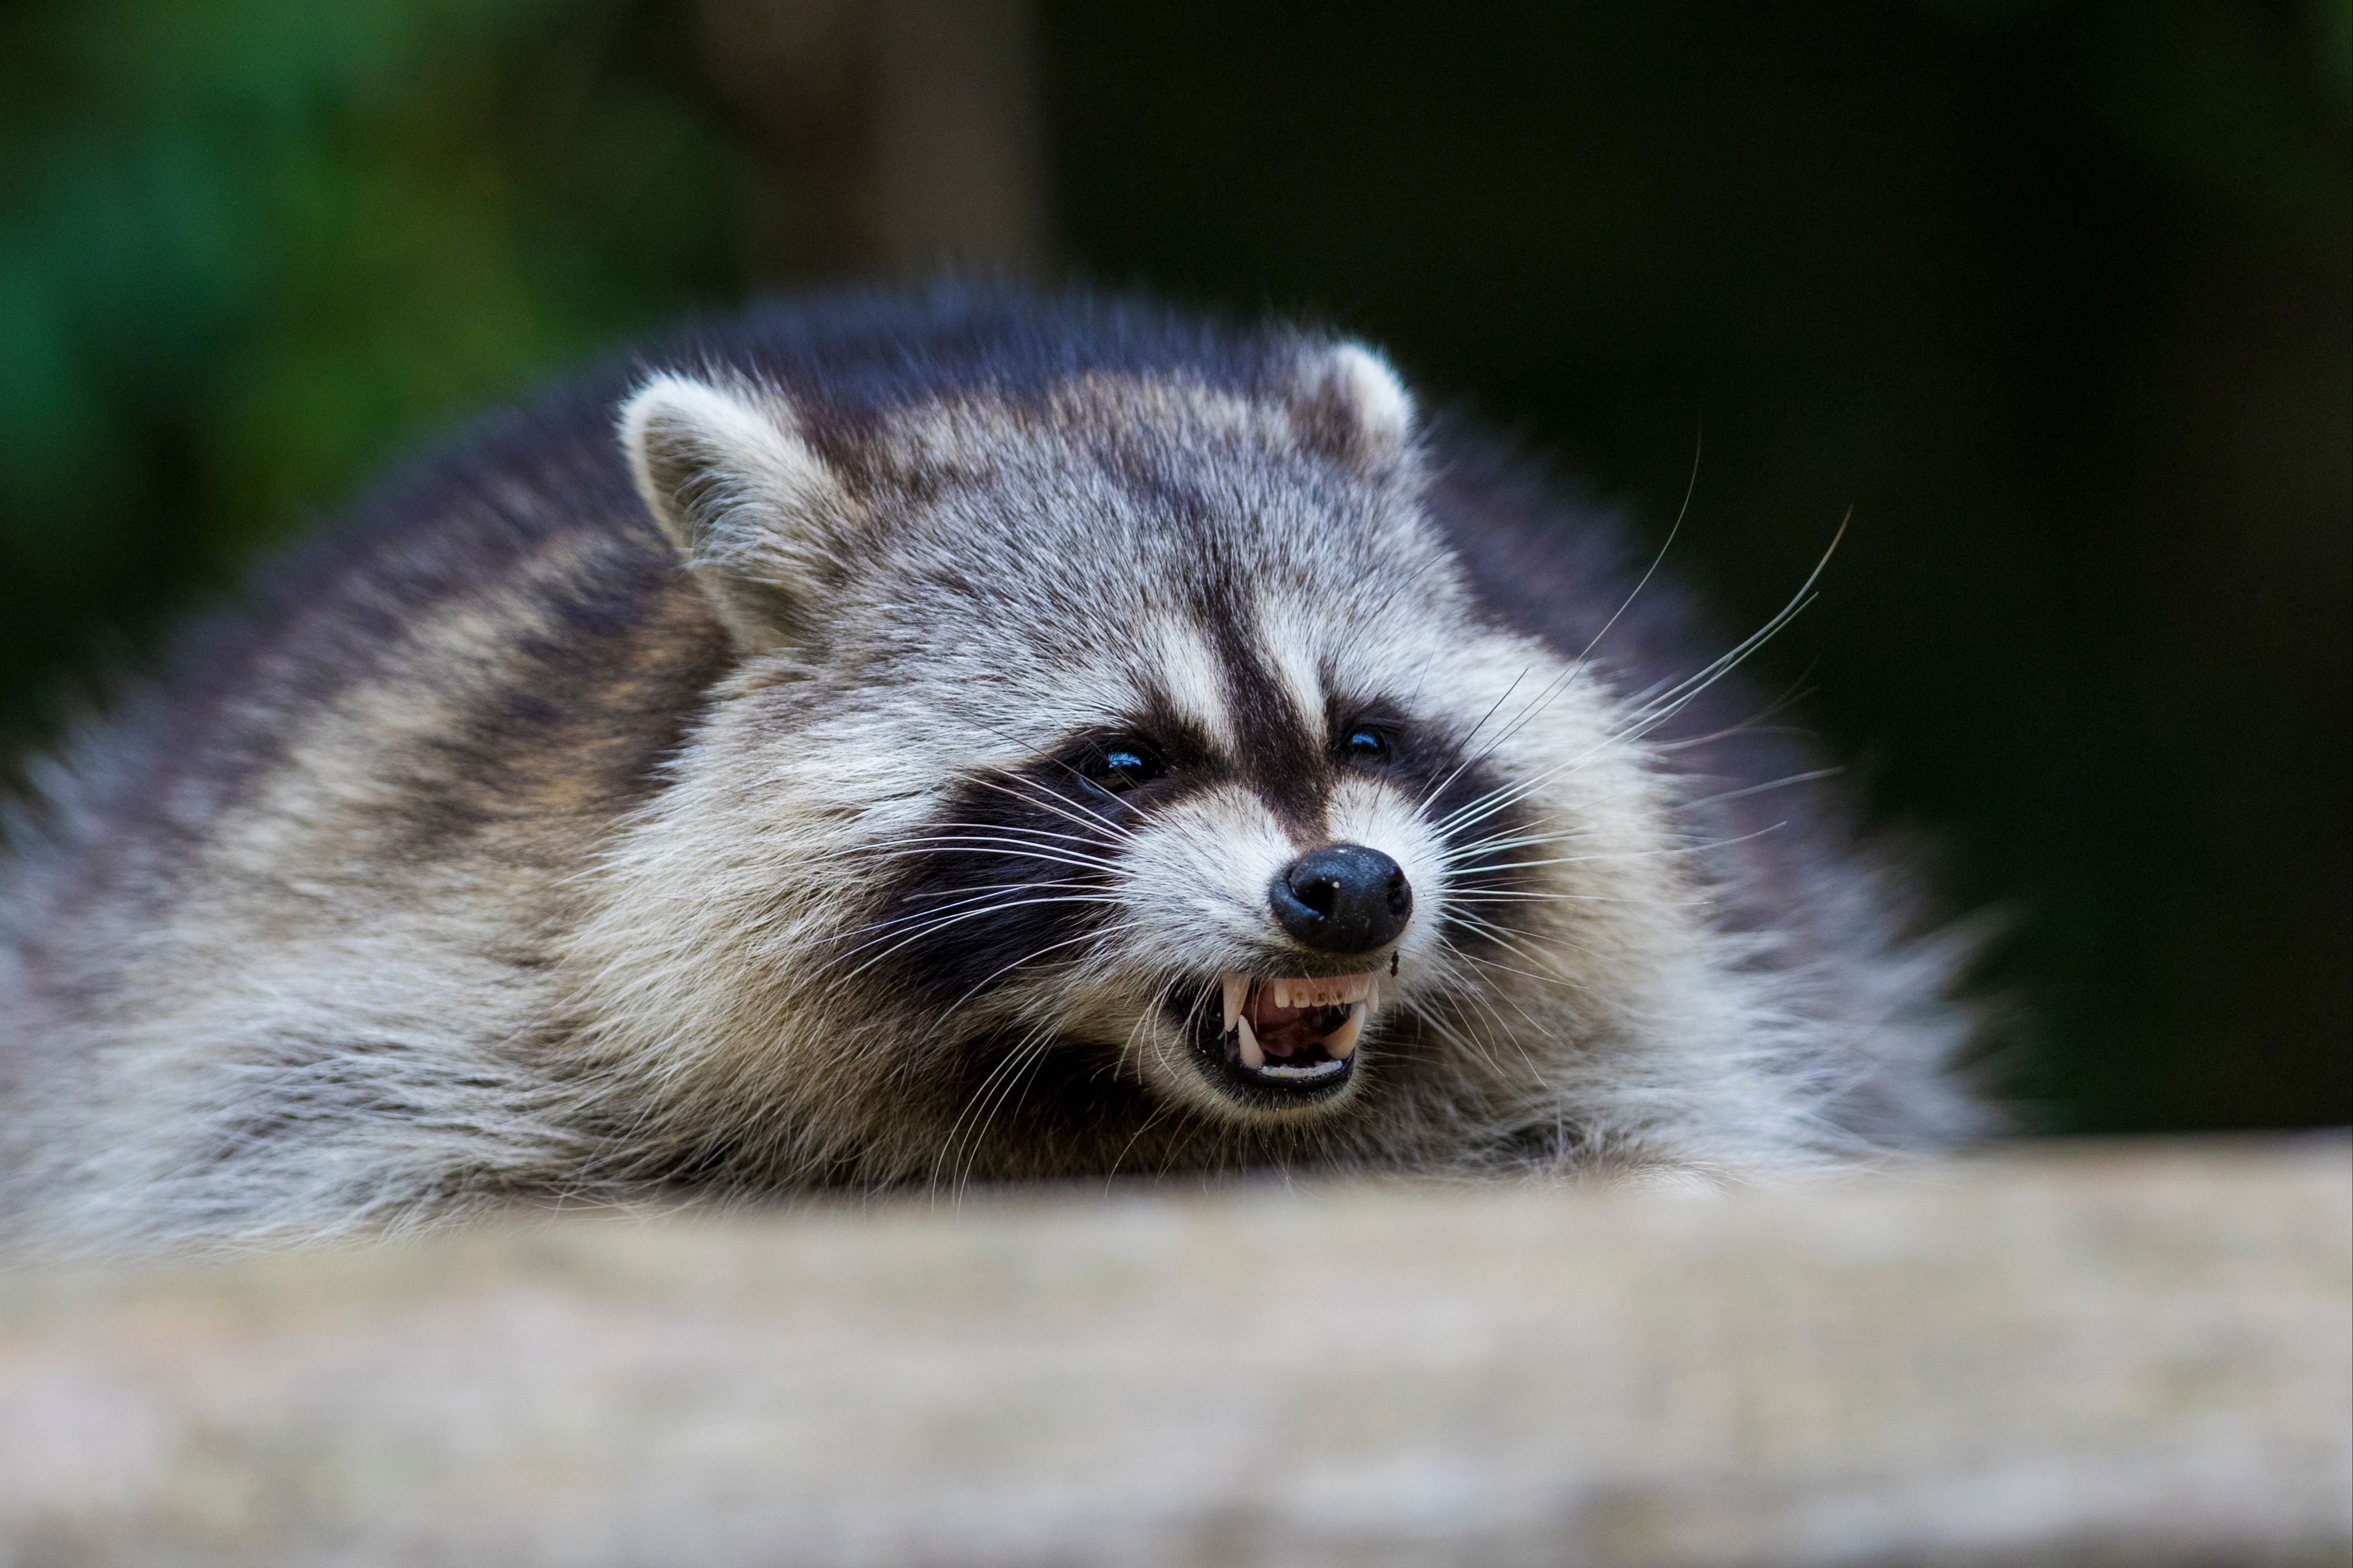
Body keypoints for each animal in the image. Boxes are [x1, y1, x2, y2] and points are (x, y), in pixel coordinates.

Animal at [0, 283, 1983, 1250]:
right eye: (1120, 756)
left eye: (1362, 732)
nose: (1347, 889)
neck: (1114, 1099)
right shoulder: (416, 919)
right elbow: (314, 1163)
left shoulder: (1689, 987)